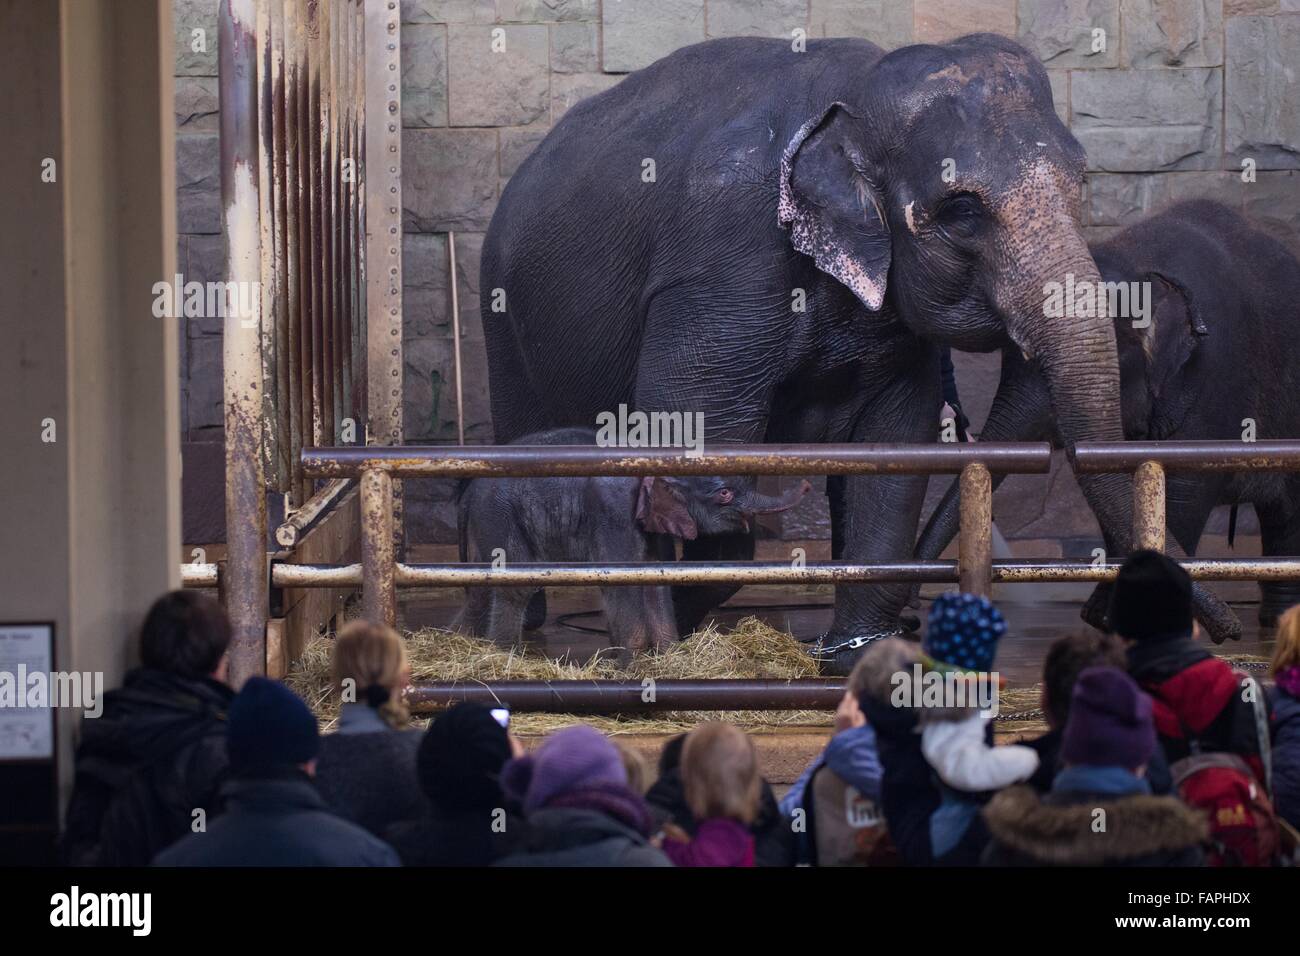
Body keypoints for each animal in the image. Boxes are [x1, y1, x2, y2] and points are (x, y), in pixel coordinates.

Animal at [455, 428, 809, 662]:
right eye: (725, 493)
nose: (806, 483)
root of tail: (469, 493)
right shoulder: (613, 511)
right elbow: (620, 580)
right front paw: (634, 663)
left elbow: (655, 578)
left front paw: (669, 657)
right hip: (500, 514)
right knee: (514, 587)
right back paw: (503, 656)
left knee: (481, 589)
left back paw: (462, 644)